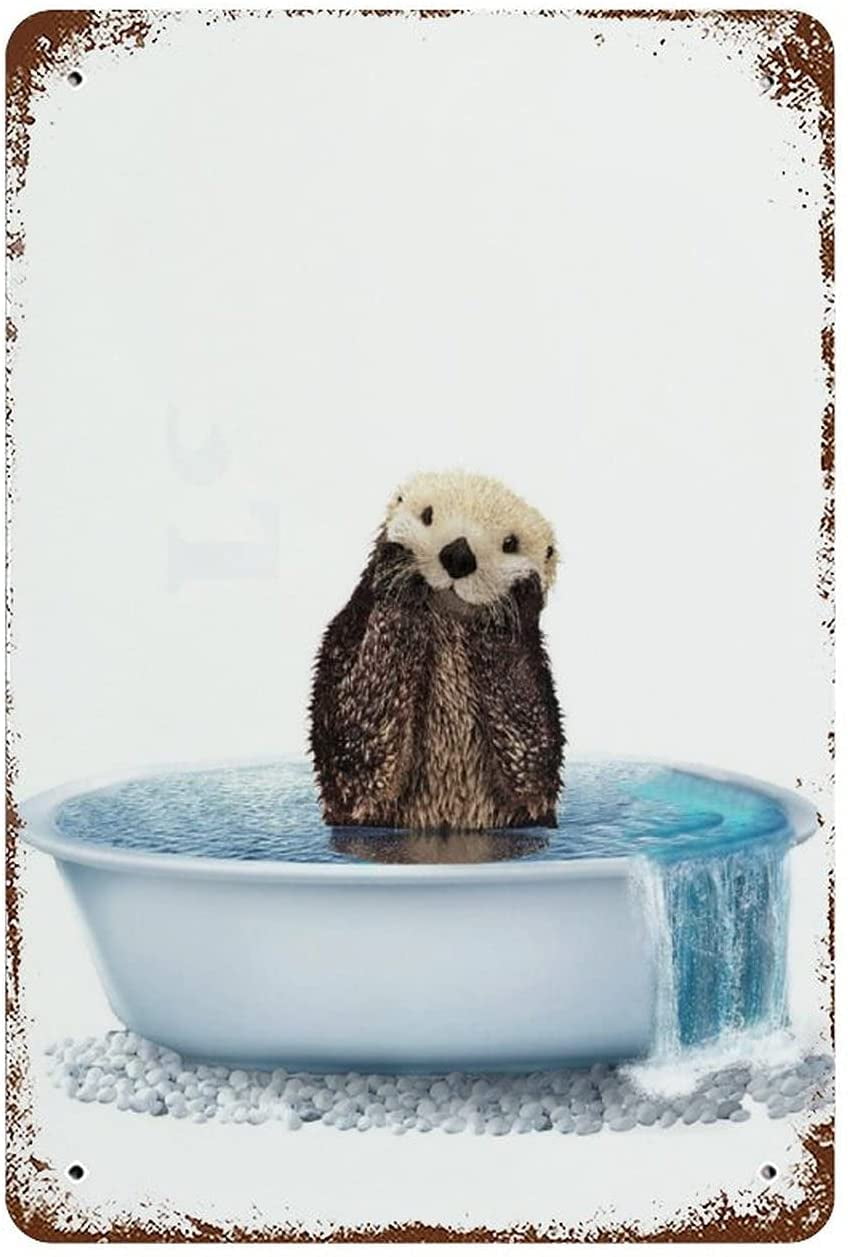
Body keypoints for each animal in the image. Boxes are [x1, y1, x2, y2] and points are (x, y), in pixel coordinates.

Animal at [309, 470, 564, 830]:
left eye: (510, 543)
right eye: (427, 515)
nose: (459, 555)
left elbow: (532, 758)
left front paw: (508, 606)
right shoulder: (341, 644)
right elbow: (354, 741)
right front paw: (398, 572)